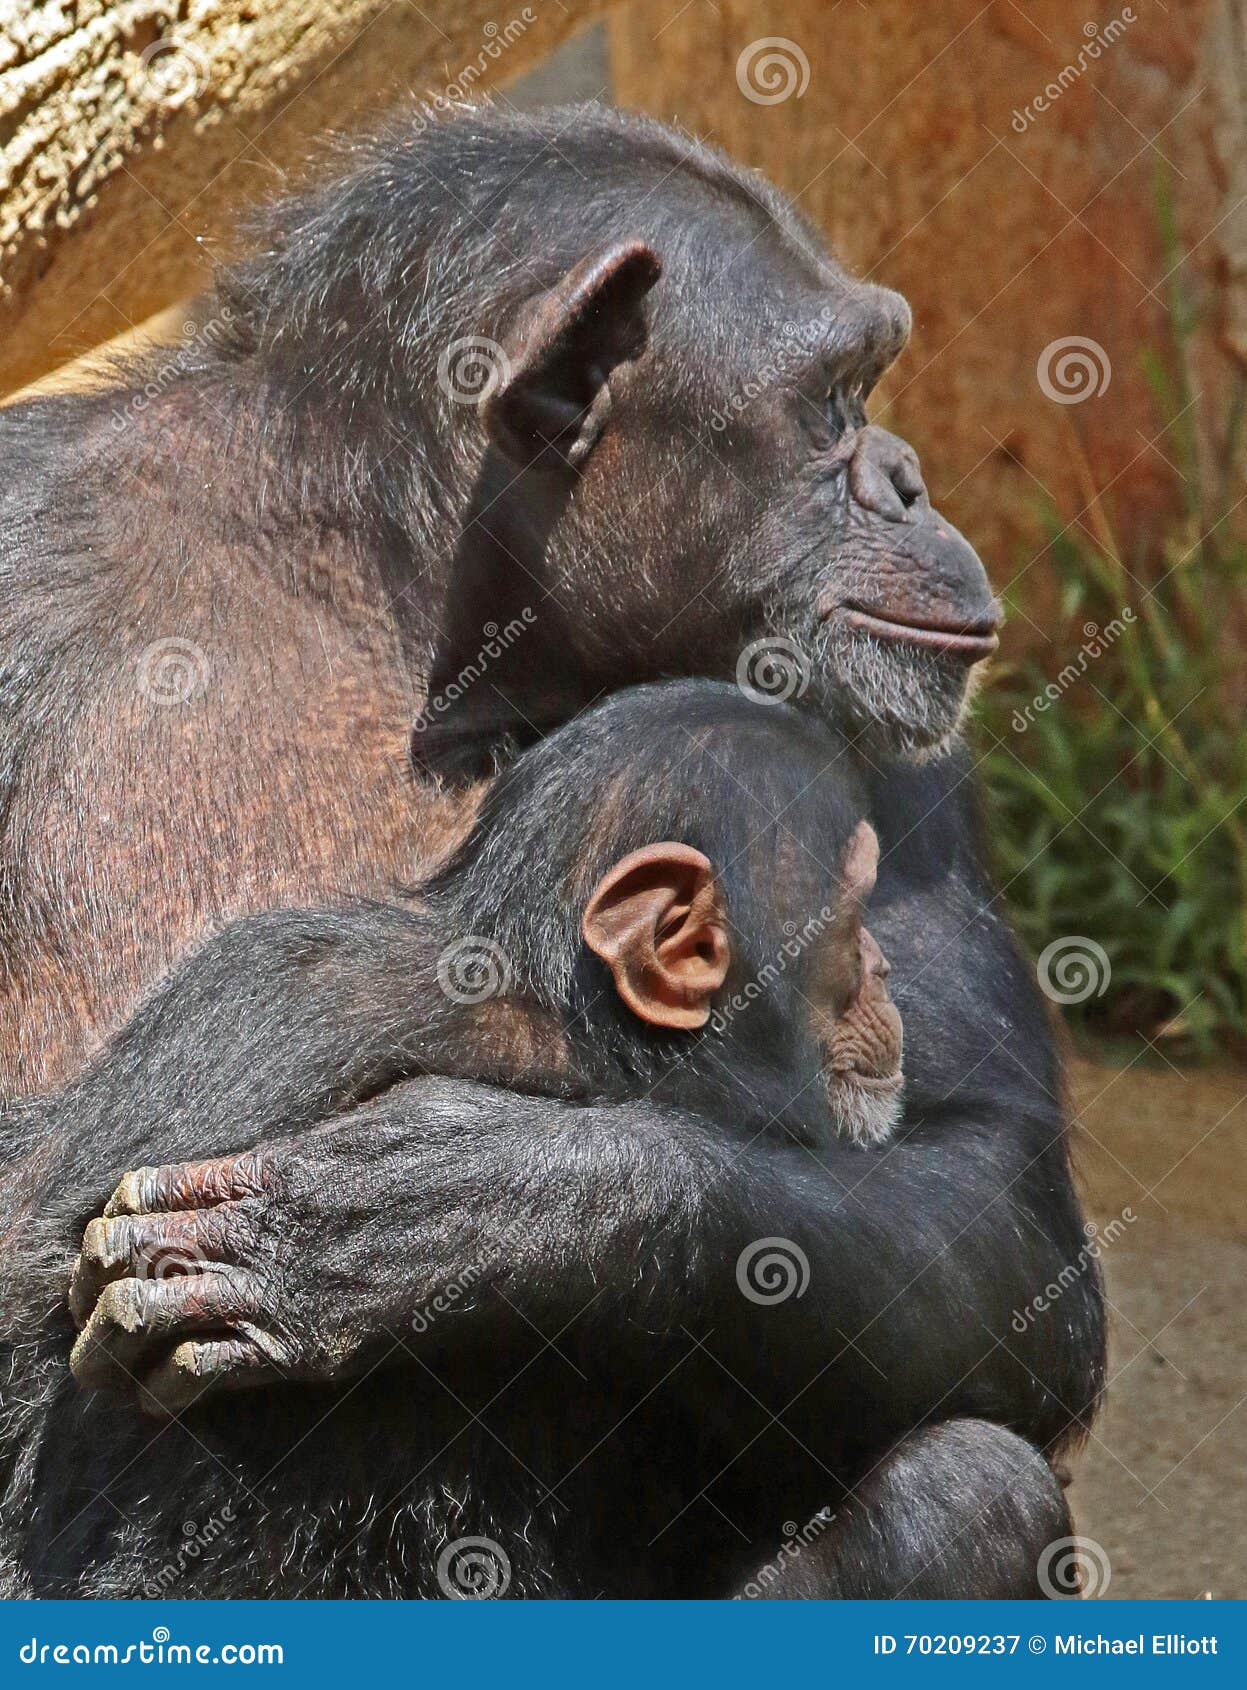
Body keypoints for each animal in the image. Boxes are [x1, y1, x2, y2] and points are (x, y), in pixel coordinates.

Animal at [2, 682, 1069, 1598]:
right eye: (852, 912)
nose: (884, 969)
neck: (561, 1009)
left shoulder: (266, 973)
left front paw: (481, 1208)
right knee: (975, 1500)